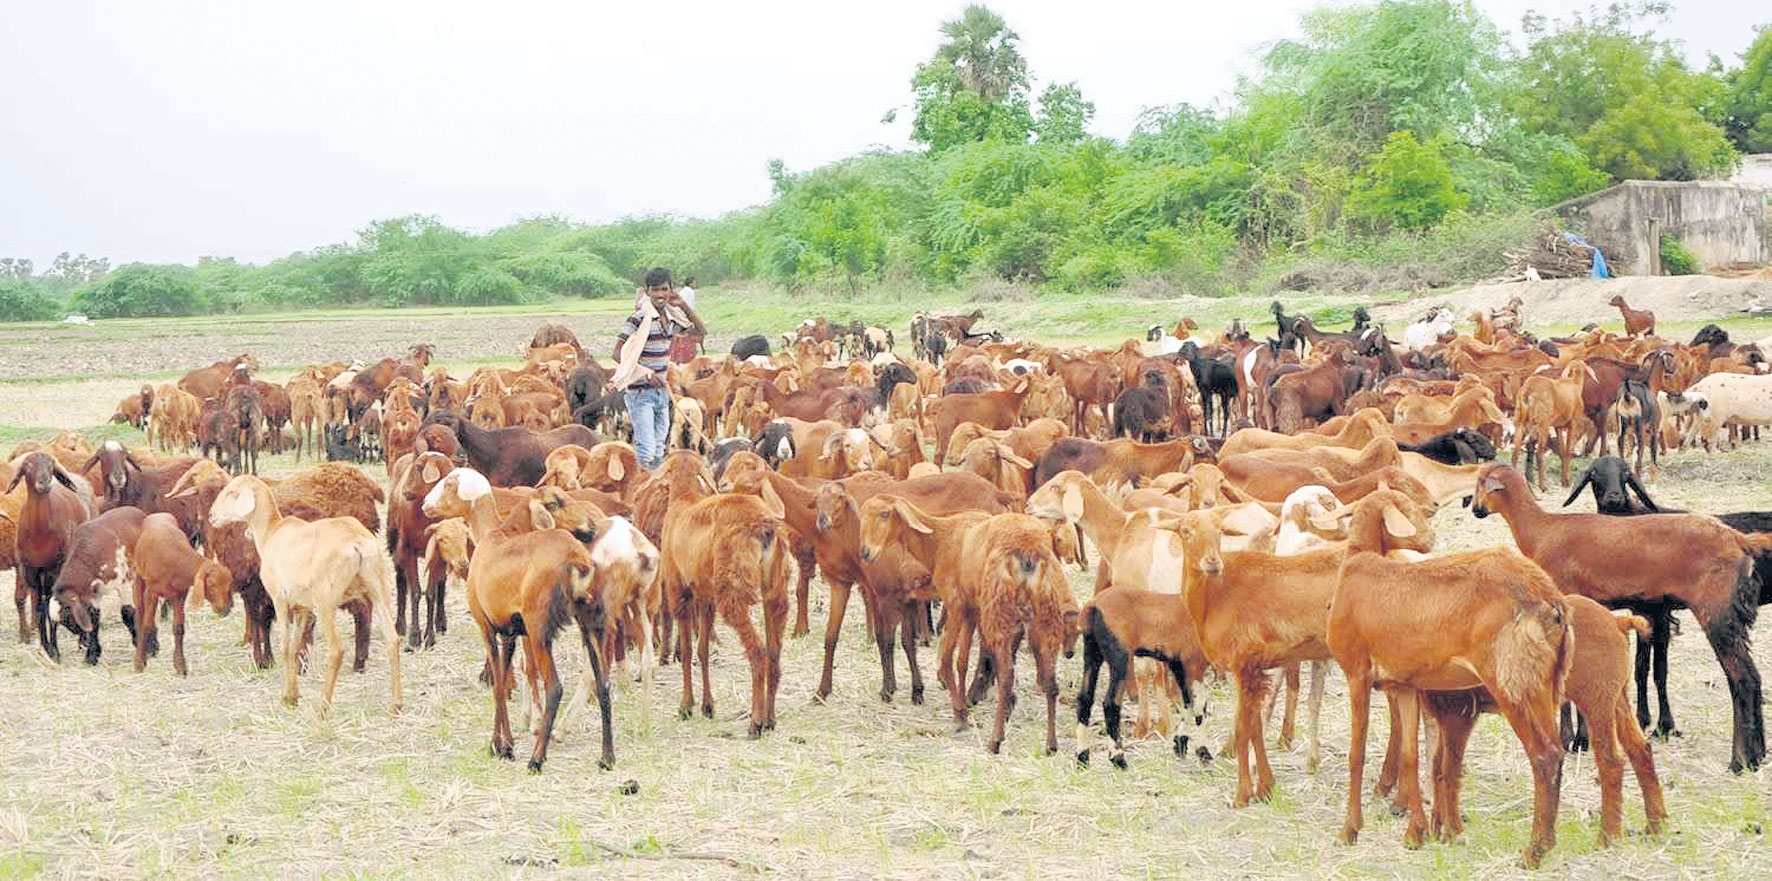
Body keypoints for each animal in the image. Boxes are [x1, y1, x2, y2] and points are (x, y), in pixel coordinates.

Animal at [209, 475, 401, 717]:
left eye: (232, 492)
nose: (211, 515)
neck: (271, 531)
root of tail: (357, 543)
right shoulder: (302, 606)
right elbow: (295, 646)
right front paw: (293, 695)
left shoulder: (280, 599)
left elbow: (284, 646)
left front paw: (286, 696)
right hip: (379, 588)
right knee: (392, 639)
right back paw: (396, 705)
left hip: (327, 599)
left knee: (337, 649)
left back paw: (323, 706)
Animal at [1329, 483, 1571, 866]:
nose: (1431, 538)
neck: (1358, 563)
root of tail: (1550, 599)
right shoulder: (1404, 685)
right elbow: (1411, 757)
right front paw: (1415, 834)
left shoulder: (1357, 673)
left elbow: (1357, 753)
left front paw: (1349, 831)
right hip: (1543, 683)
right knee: (1558, 752)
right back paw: (1546, 842)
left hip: (1511, 683)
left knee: (1544, 755)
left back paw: (1533, 850)